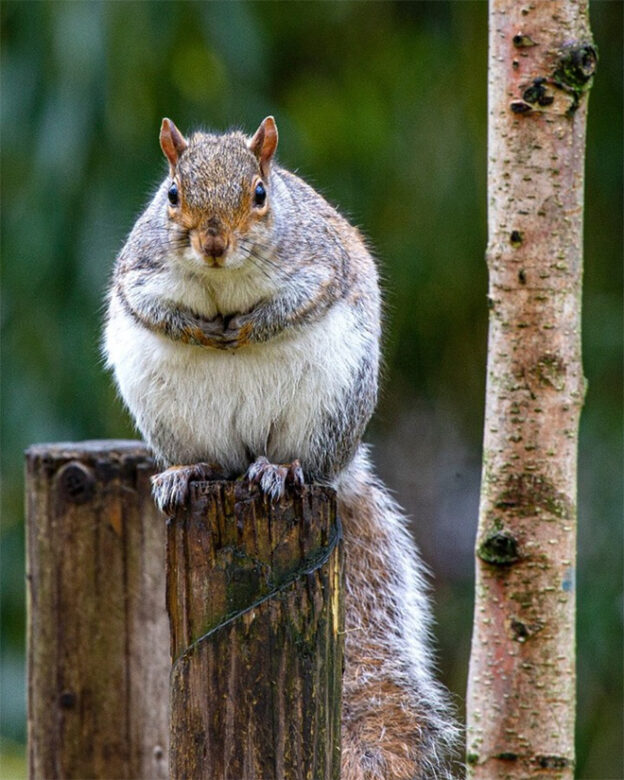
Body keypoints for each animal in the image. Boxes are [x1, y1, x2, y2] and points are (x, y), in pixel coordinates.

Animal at [104, 116, 458, 779]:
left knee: (297, 460)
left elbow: (300, 300)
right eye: (171, 194)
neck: (221, 282)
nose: (214, 243)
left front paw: (251, 325)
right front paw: (197, 329)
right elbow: (150, 307)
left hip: (327, 407)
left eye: (261, 194)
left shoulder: (319, 263)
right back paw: (185, 473)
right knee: (214, 461)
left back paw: (279, 468)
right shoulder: (137, 270)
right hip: (169, 415)